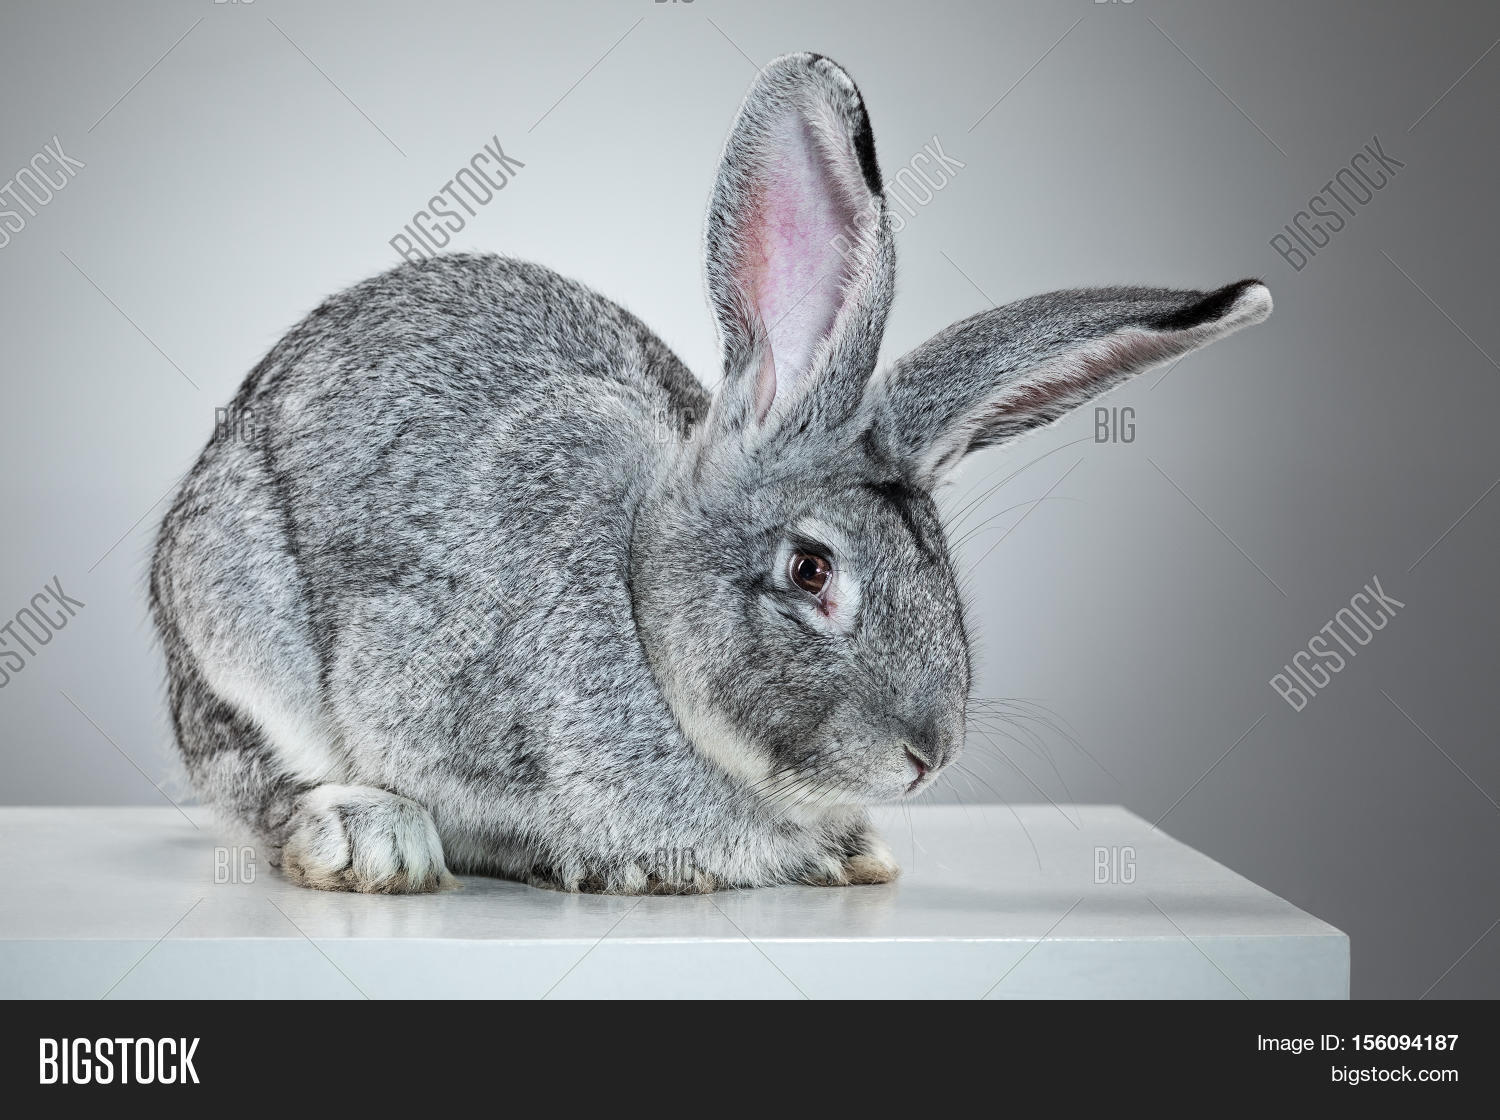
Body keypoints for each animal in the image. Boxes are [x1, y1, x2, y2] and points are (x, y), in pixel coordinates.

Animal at [149, 52, 1271, 895]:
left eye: (942, 572)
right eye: (811, 570)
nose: (928, 755)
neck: (641, 607)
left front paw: (848, 852)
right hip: (234, 618)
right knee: (261, 784)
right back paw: (368, 838)